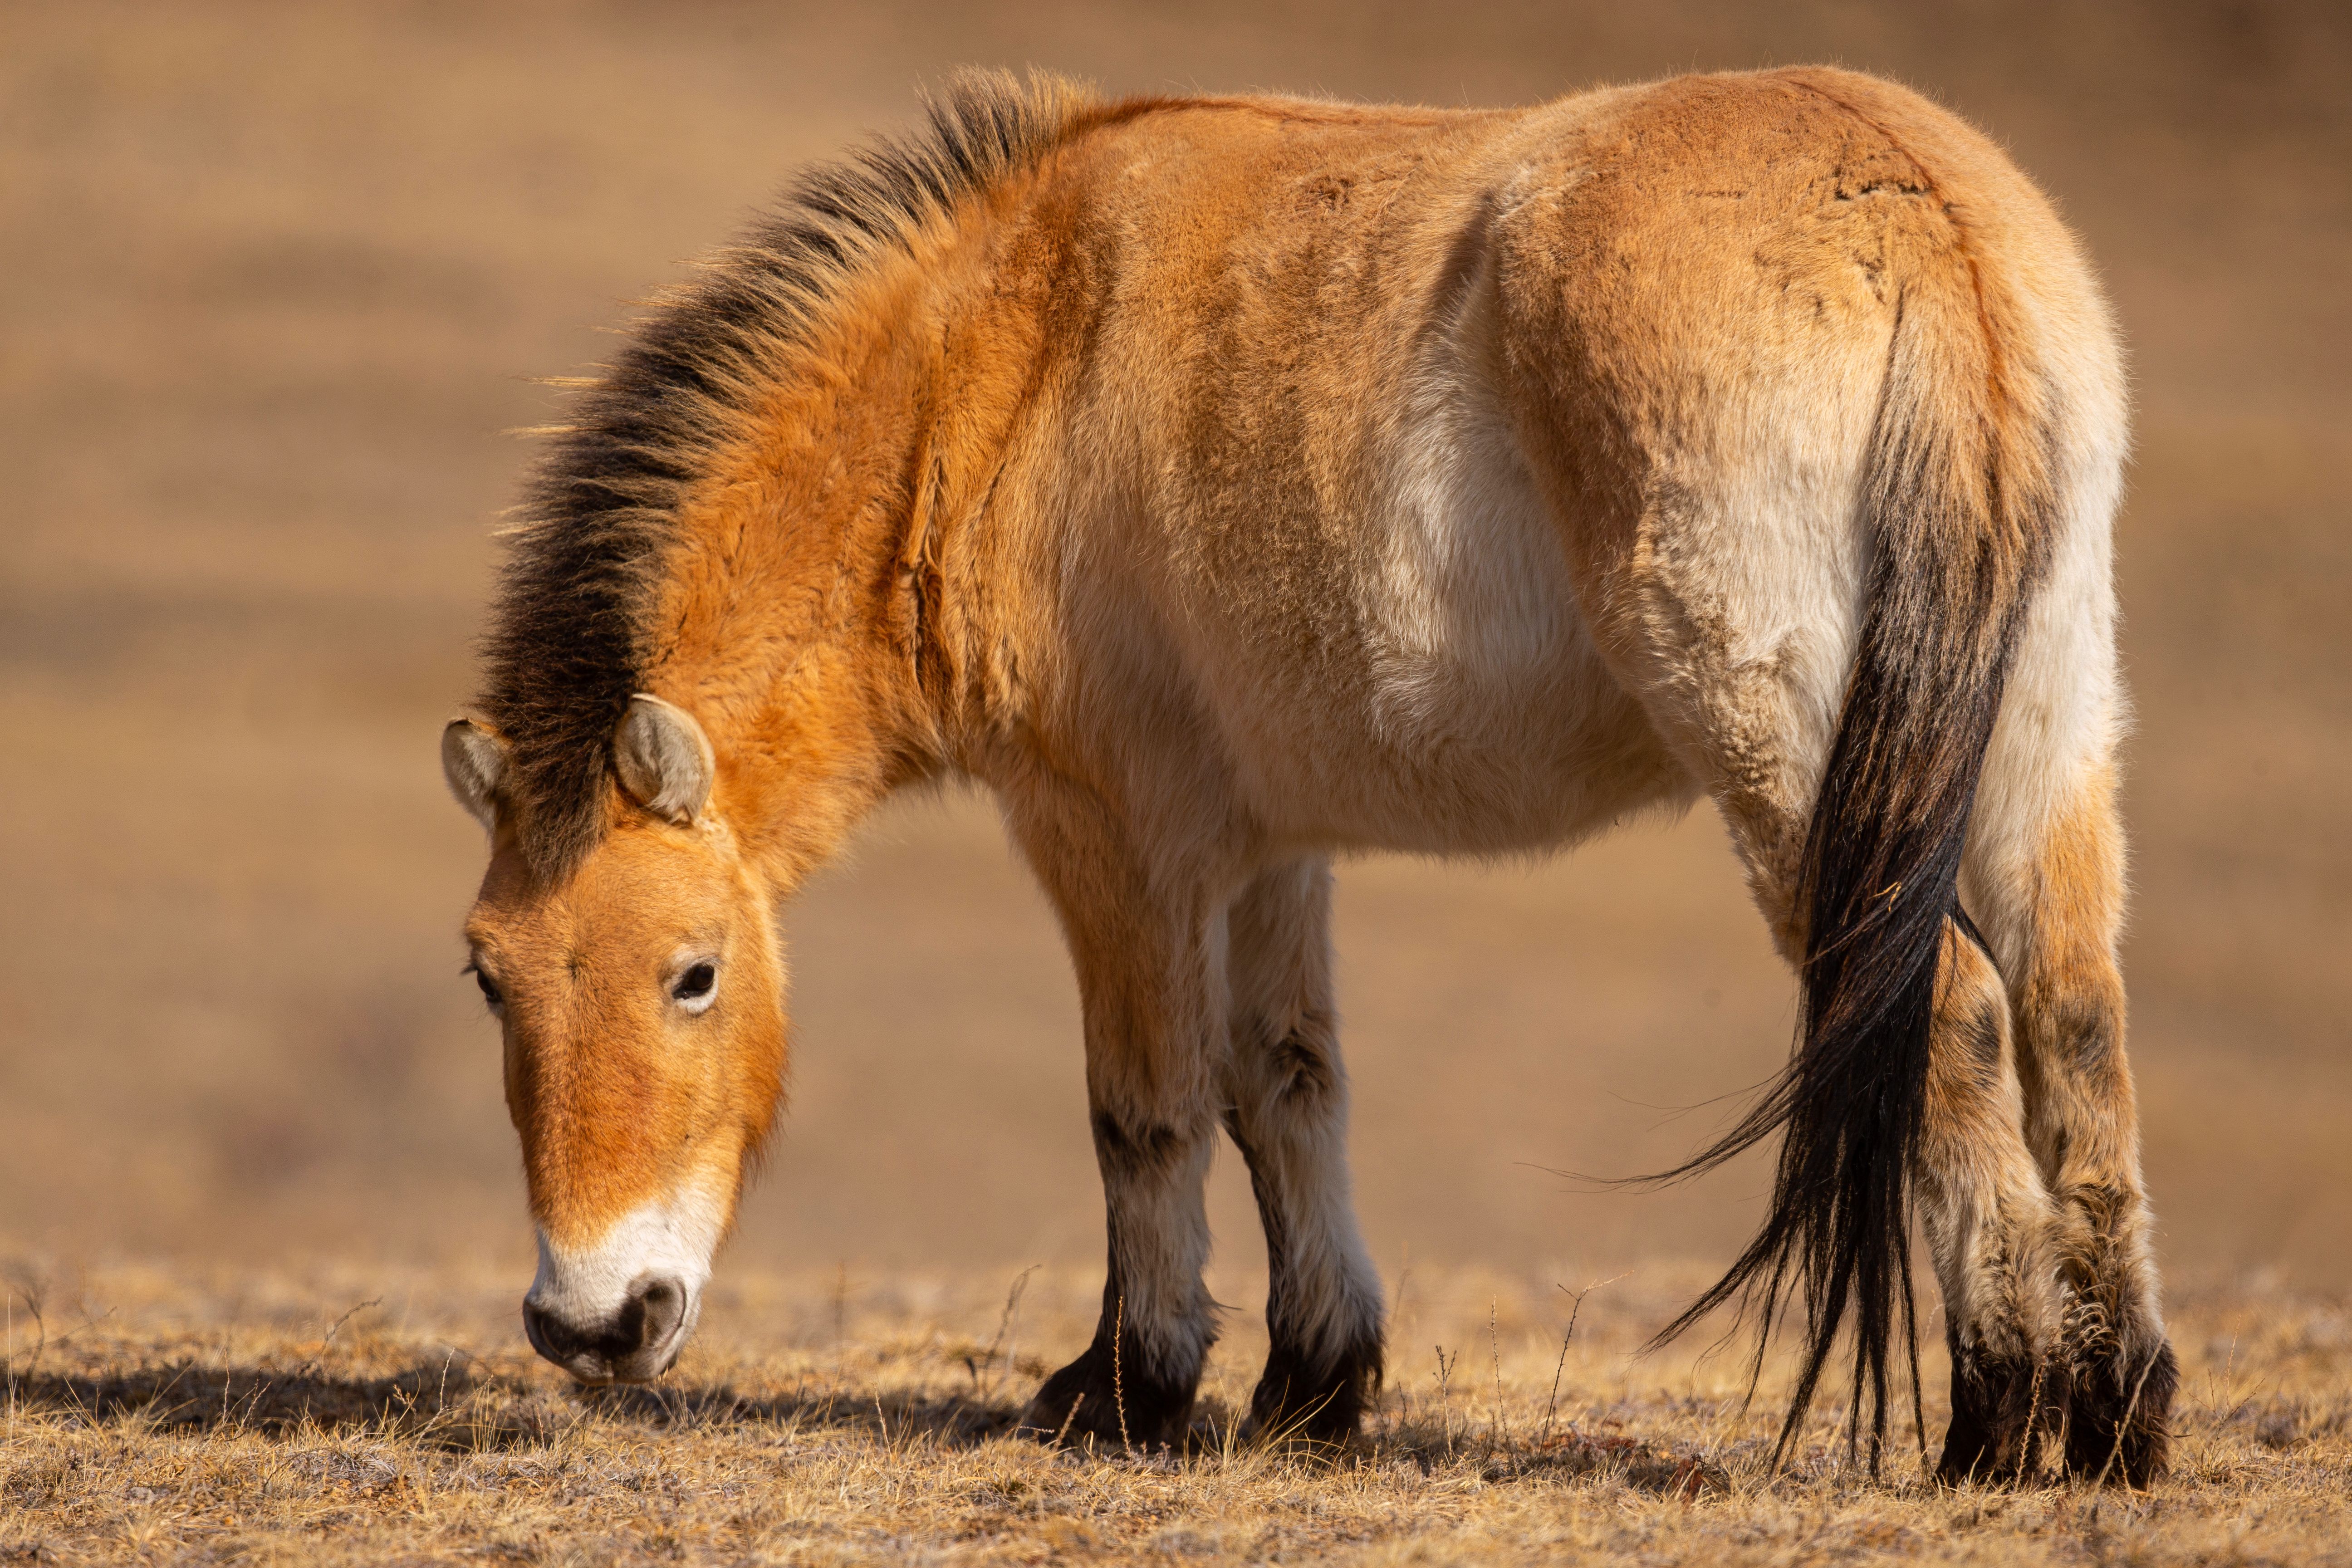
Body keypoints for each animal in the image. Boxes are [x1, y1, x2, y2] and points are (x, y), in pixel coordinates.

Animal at [440, 65, 2175, 1482]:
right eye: (487, 978)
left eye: (694, 972)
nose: (592, 1320)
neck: (1003, 361)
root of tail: (1926, 221)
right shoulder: (1269, 841)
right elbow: (1285, 1084)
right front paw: (1313, 1388)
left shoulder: (1112, 834)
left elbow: (1144, 1107)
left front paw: (1127, 1391)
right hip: (2043, 738)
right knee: (2074, 1025)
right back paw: (2110, 1420)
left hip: (1801, 773)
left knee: (1952, 1015)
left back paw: (1996, 1423)